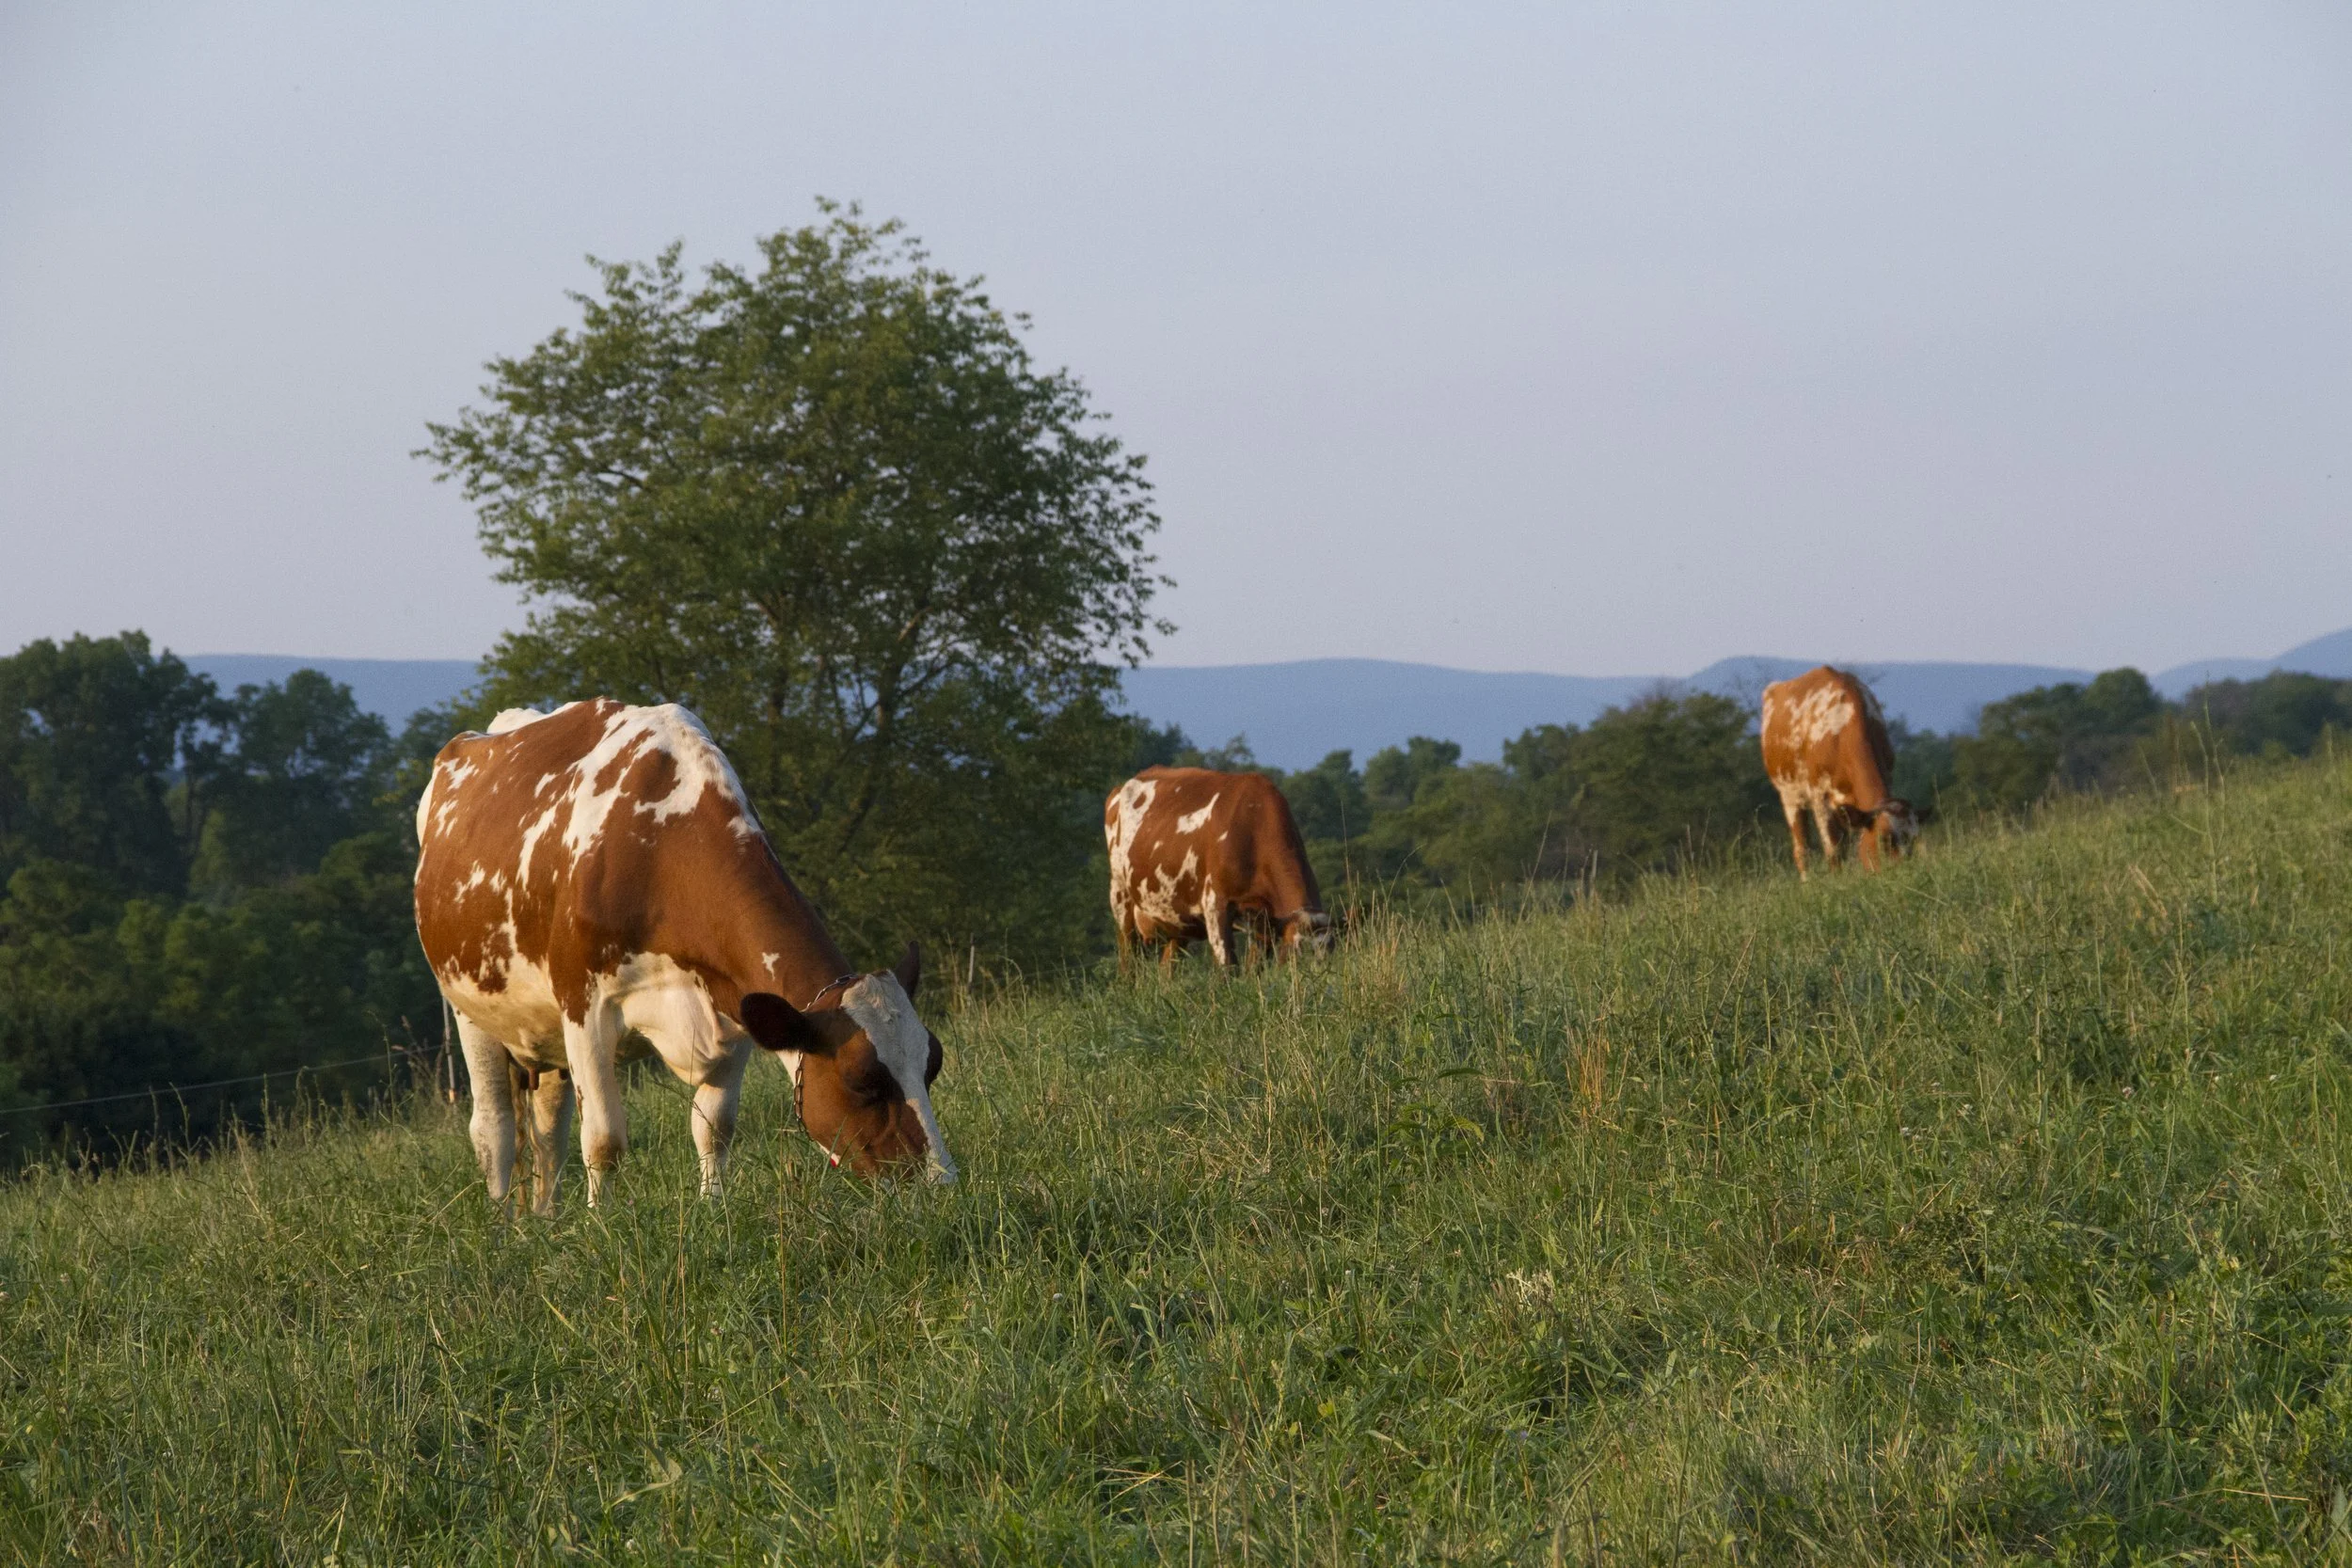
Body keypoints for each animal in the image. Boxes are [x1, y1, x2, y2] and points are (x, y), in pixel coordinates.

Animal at [413, 698, 954, 1216]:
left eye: (933, 1064)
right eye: (860, 1080)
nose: (941, 1183)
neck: (658, 846)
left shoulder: (732, 1005)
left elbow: (714, 1127)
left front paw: (713, 1211)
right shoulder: (583, 1006)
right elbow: (604, 1139)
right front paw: (601, 1226)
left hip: (541, 1033)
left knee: (548, 1131)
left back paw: (546, 1223)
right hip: (469, 1009)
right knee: (495, 1130)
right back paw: (504, 1226)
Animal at [1104, 766, 1331, 970]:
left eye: (1330, 958)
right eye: (1297, 956)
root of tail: (1123, 786)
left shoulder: (1263, 921)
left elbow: (1253, 970)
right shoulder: (1215, 904)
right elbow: (1227, 967)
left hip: (1177, 918)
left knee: (1166, 971)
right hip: (1121, 900)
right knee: (1128, 963)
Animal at [1759, 665, 1920, 878]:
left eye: (1914, 840)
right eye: (1884, 839)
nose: (1904, 874)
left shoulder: (1886, 775)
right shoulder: (1819, 795)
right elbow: (1833, 851)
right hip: (1790, 794)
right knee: (1802, 851)